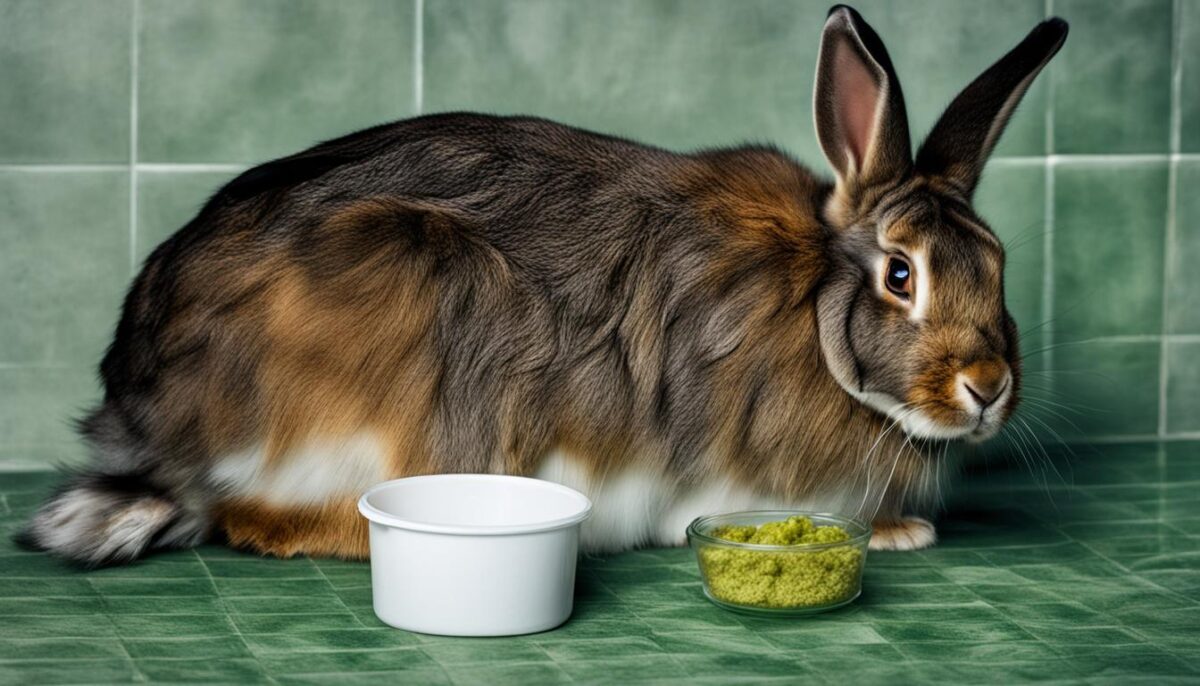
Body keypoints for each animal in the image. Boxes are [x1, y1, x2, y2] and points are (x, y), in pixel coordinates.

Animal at [19, 5, 1066, 567]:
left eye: (998, 265)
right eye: (900, 273)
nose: (988, 388)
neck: (812, 308)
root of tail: (153, 426)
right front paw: (900, 534)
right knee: (258, 519)